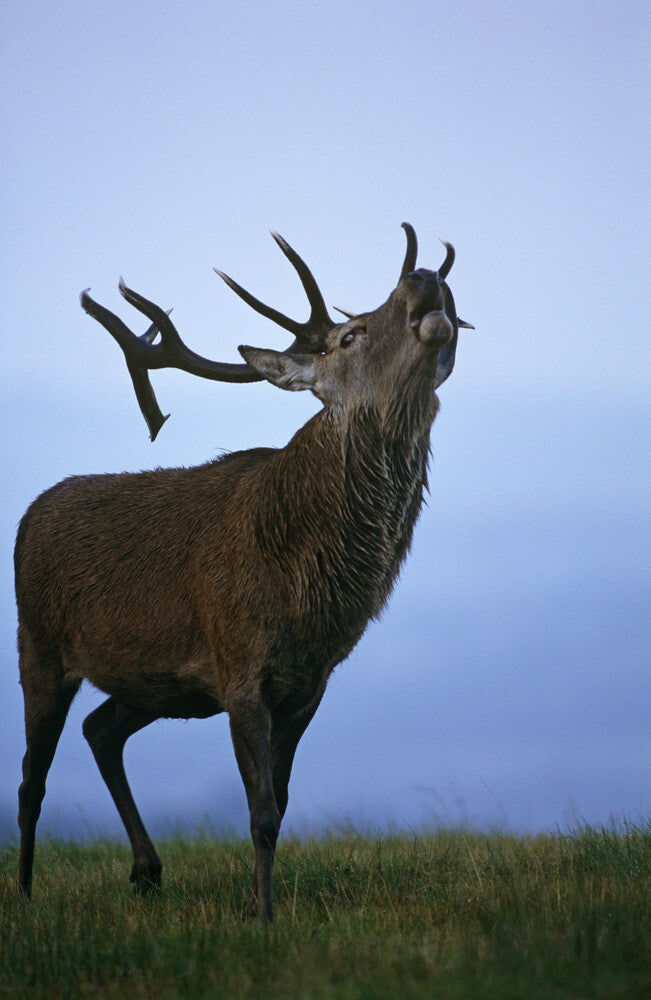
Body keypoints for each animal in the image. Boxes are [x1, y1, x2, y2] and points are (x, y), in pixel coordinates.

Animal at [14, 224, 473, 921]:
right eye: (351, 334)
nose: (423, 277)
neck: (306, 586)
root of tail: (28, 515)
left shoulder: (308, 684)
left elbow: (279, 802)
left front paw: (261, 900)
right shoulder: (238, 669)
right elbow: (260, 813)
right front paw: (262, 915)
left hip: (156, 684)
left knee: (101, 730)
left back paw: (146, 870)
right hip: (38, 646)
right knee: (31, 779)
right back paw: (24, 892)